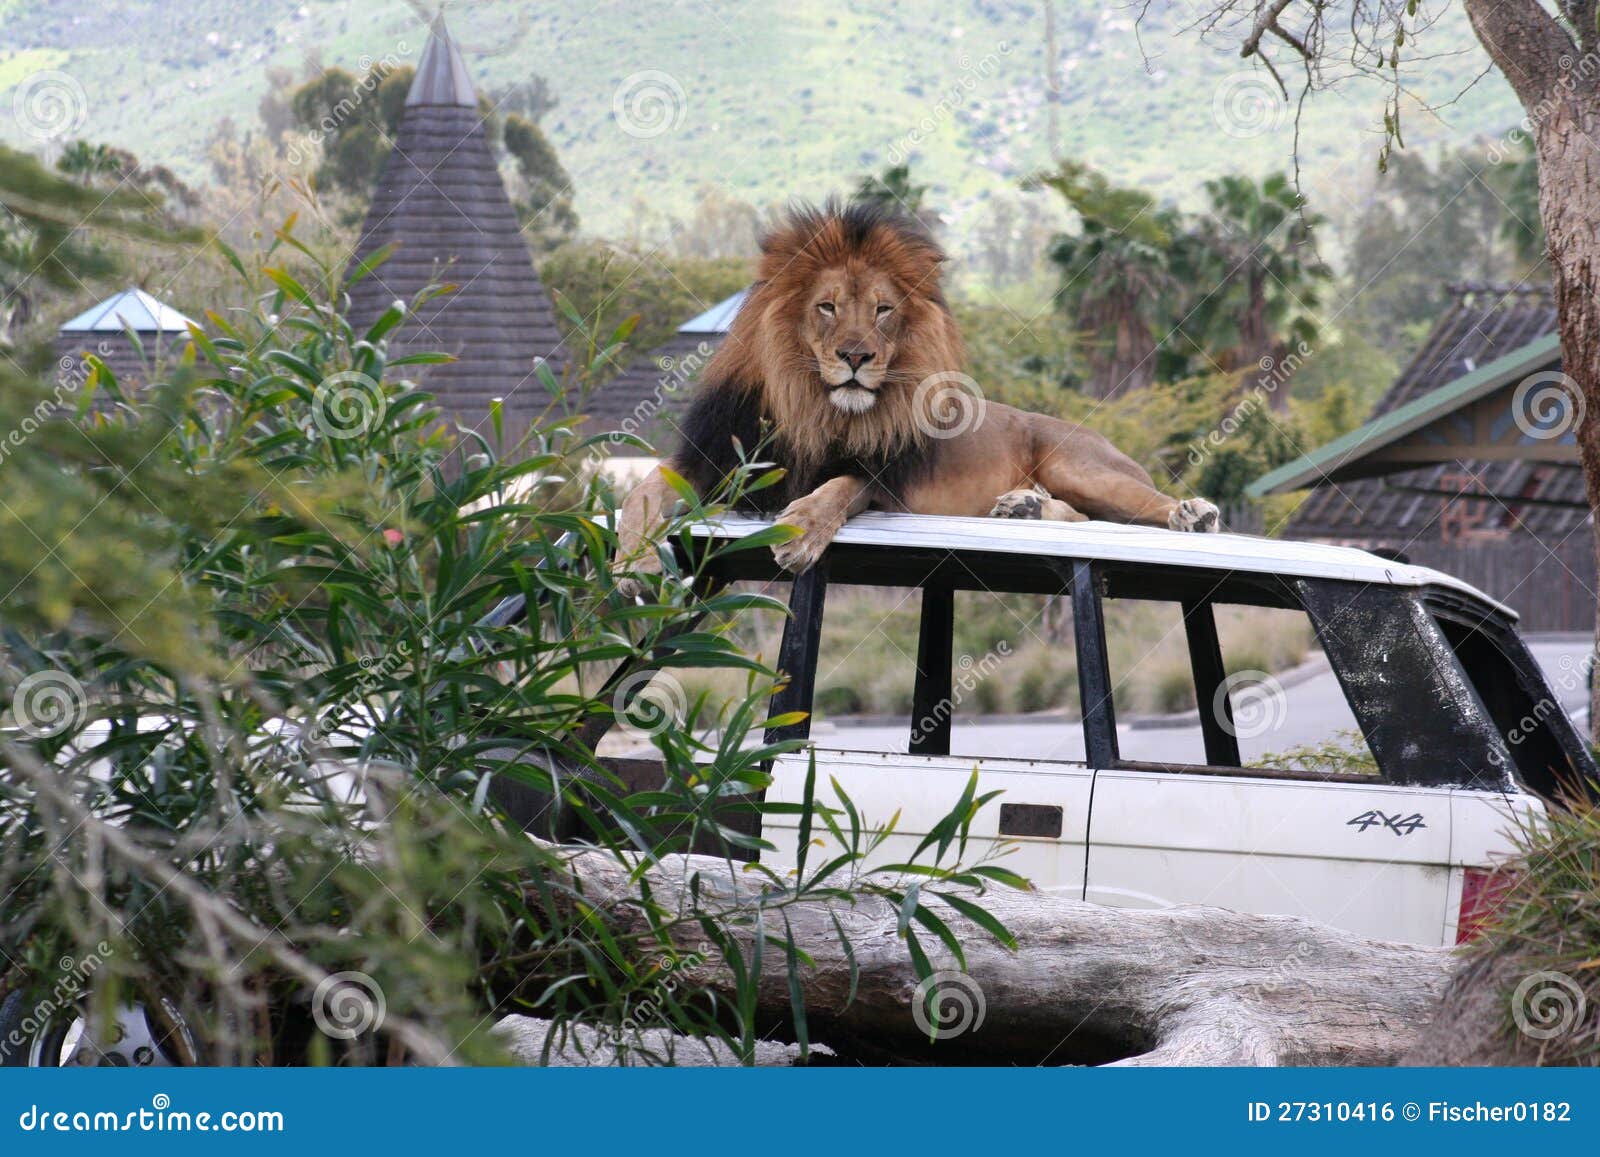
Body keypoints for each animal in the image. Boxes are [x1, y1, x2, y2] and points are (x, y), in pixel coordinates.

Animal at [615, 200, 1219, 585]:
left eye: (883, 310)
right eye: (827, 306)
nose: (855, 357)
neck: (811, 405)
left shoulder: (882, 478)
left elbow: (838, 488)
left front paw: (800, 529)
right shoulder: (705, 461)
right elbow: (638, 497)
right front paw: (631, 567)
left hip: (1081, 464)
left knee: (1135, 506)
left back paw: (1194, 514)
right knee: (1080, 517)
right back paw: (1022, 506)